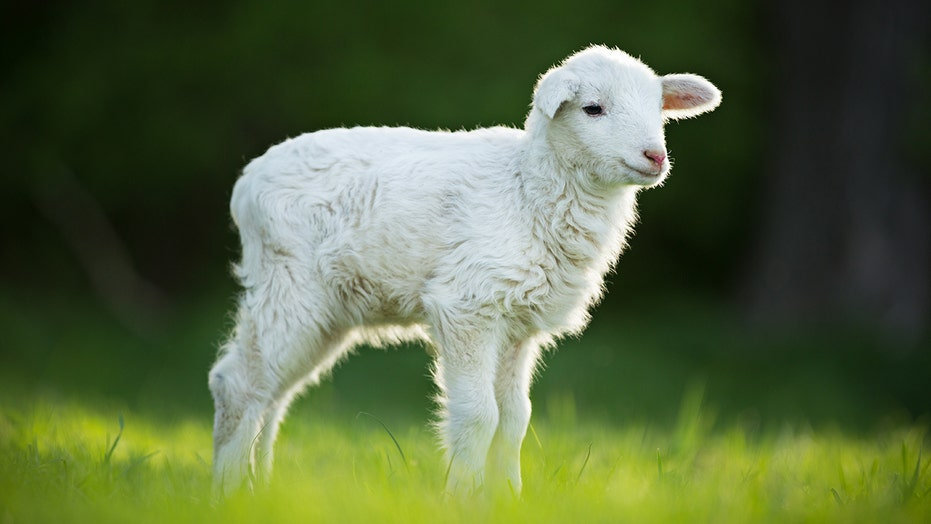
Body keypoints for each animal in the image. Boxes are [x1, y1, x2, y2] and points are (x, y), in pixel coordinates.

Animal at [209, 44, 721, 496]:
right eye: (593, 109)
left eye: (658, 108)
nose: (655, 156)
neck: (527, 188)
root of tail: (246, 183)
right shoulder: (467, 306)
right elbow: (479, 416)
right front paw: (462, 497)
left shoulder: (517, 326)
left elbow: (514, 419)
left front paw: (509, 497)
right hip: (289, 284)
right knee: (239, 385)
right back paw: (229, 493)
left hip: (327, 310)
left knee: (272, 395)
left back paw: (261, 489)